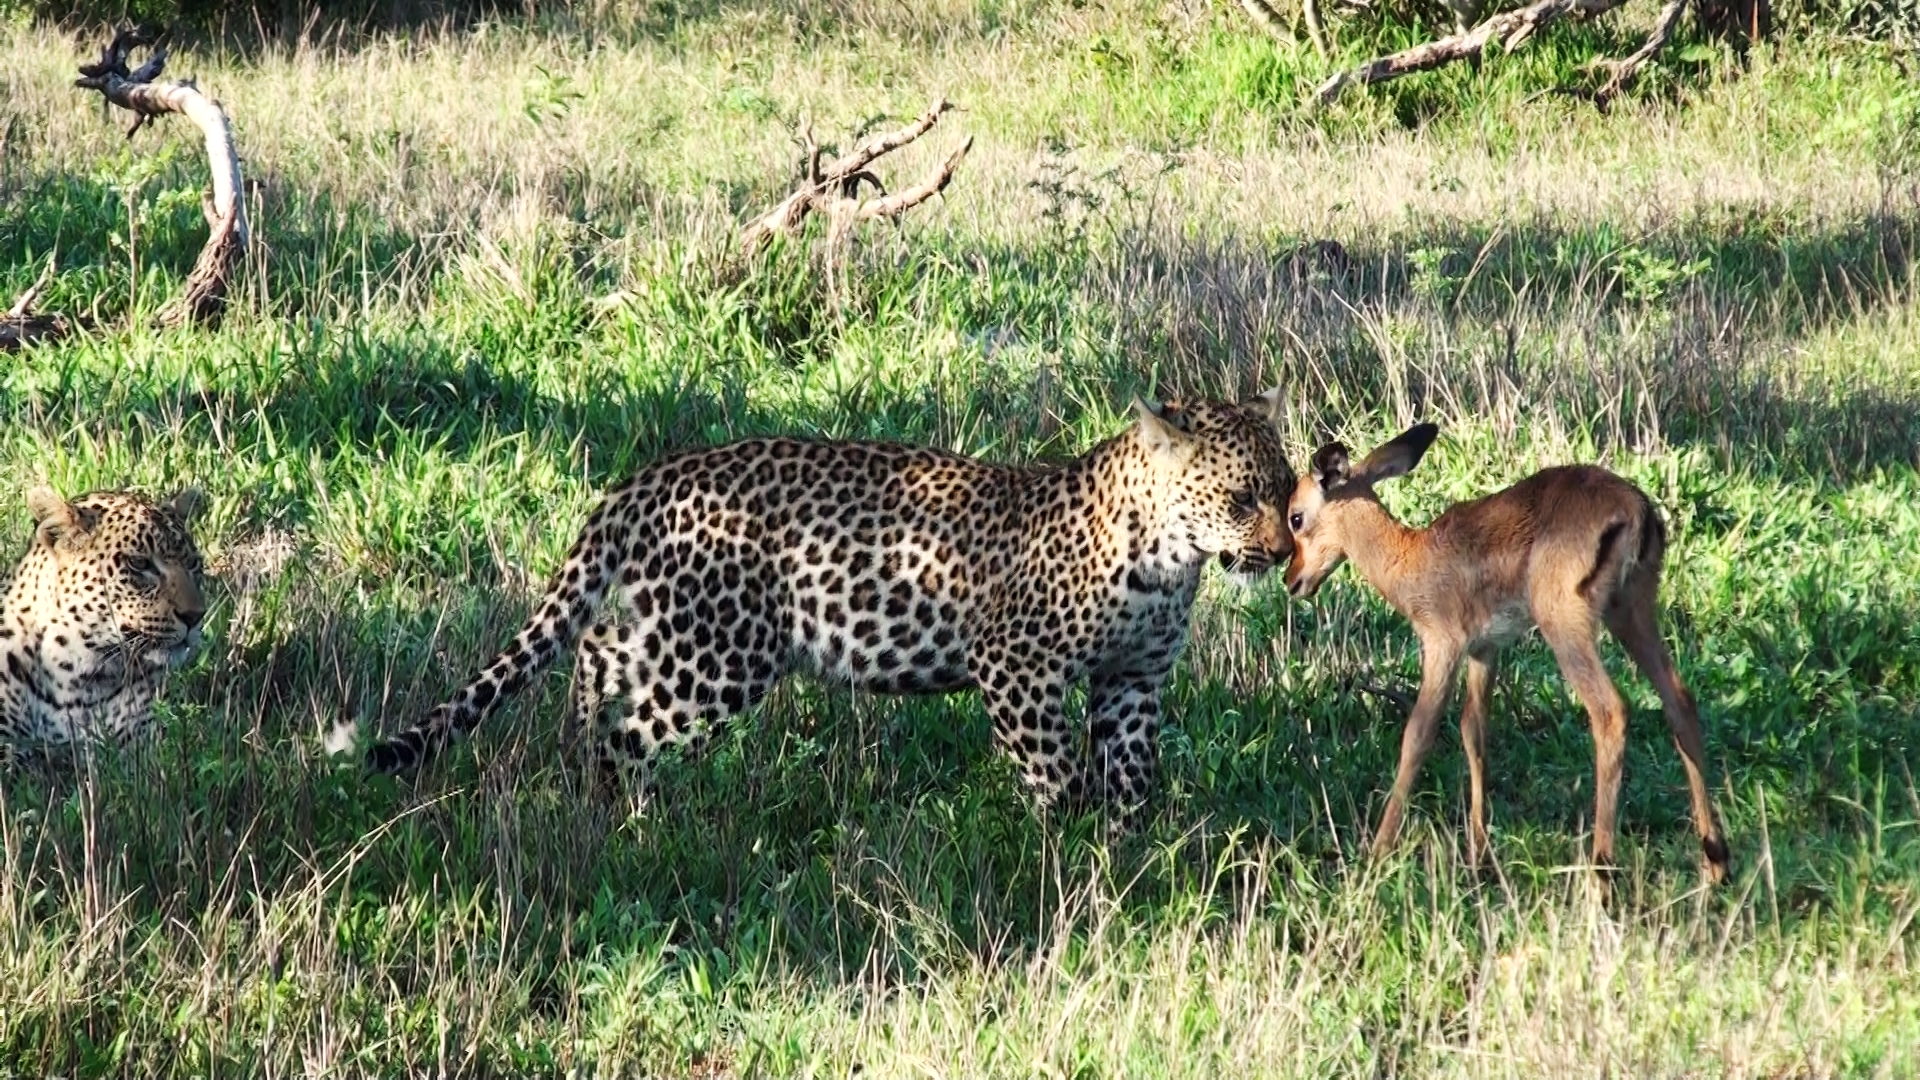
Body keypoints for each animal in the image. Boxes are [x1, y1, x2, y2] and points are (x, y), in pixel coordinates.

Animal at [1283, 422, 1730, 882]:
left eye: (1296, 516)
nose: (1292, 579)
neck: (1411, 558)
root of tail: (1637, 509)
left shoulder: (1443, 645)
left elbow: (1418, 736)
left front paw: (1377, 853)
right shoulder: (1485, 650)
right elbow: (1474, 732)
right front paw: (1479, 853)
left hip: (1567, 624)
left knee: (1611, 711)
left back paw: (1601, 872)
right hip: (1631, 612)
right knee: (1679, 699)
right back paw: (1715, 860)